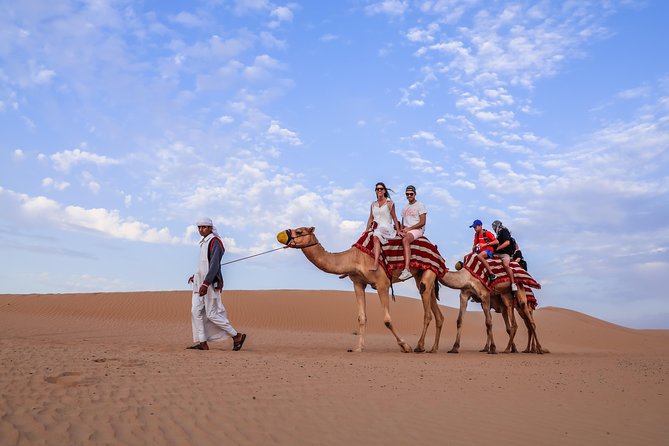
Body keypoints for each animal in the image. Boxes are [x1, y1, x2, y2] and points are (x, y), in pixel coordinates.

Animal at [277, 227, 444, 353]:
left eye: (299, 231)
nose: (280, 235)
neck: (354, 258)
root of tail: (434, 248)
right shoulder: (358, 283)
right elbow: (361, 318)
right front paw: (358, 348)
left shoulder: (382, 283)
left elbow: (387, 320)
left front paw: (405, 346)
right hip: (421, 274)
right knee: (436, 310)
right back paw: (434, 348)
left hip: (428, 271)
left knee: (427, 312)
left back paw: (419, 346)